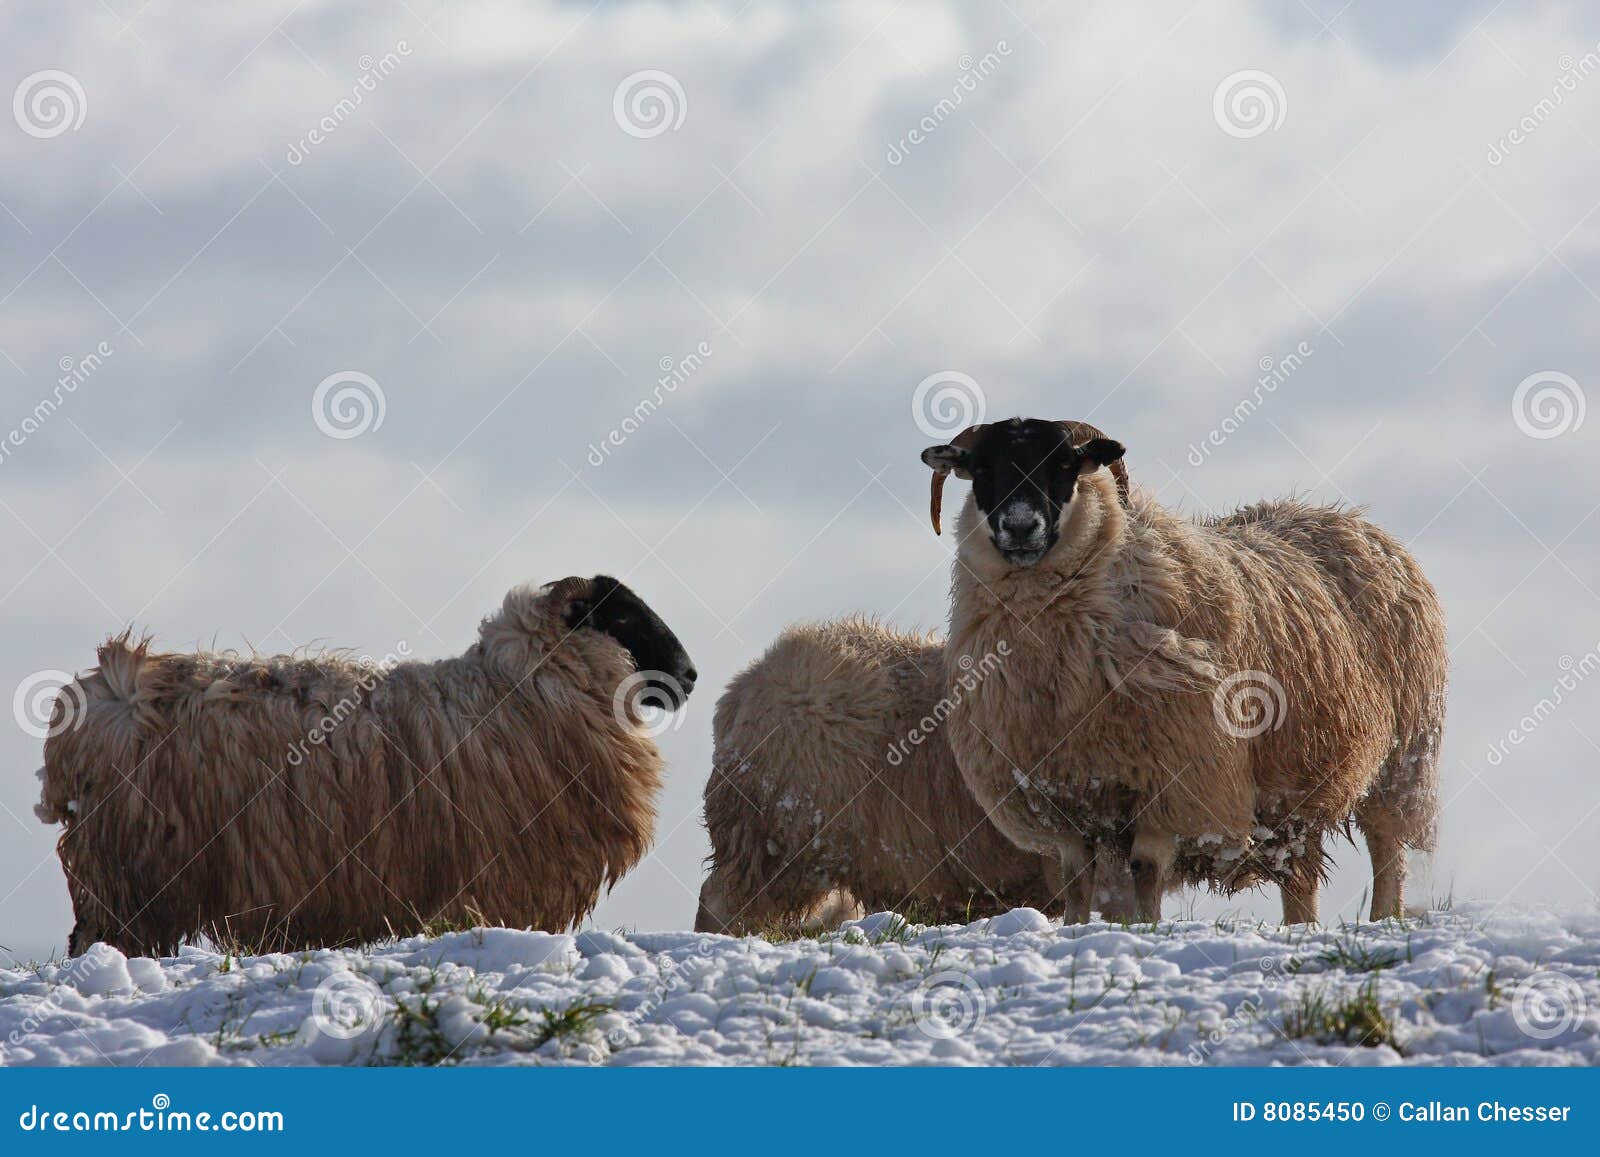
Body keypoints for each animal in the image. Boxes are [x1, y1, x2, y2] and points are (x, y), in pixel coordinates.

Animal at [36, 574, 697, 957]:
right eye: (622, 615)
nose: (689, 675)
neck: (522, 689)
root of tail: (102, 691)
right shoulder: (500, 875)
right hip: (131, 864)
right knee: (100, 937)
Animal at [921, 418, 1445, 925]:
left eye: (1065, 464)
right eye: (982, 469)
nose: (1020, 527)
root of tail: (1347, 518)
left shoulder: (1172, 785)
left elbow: (1145, 869)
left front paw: (1147, 927)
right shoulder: (1060, 798)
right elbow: (1076, 879)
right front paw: (1074, 928)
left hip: (1401, 760)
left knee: (1387, 851)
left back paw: (1382, 919)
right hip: (1292, 793)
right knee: (1300, 876)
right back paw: (1301, 928)